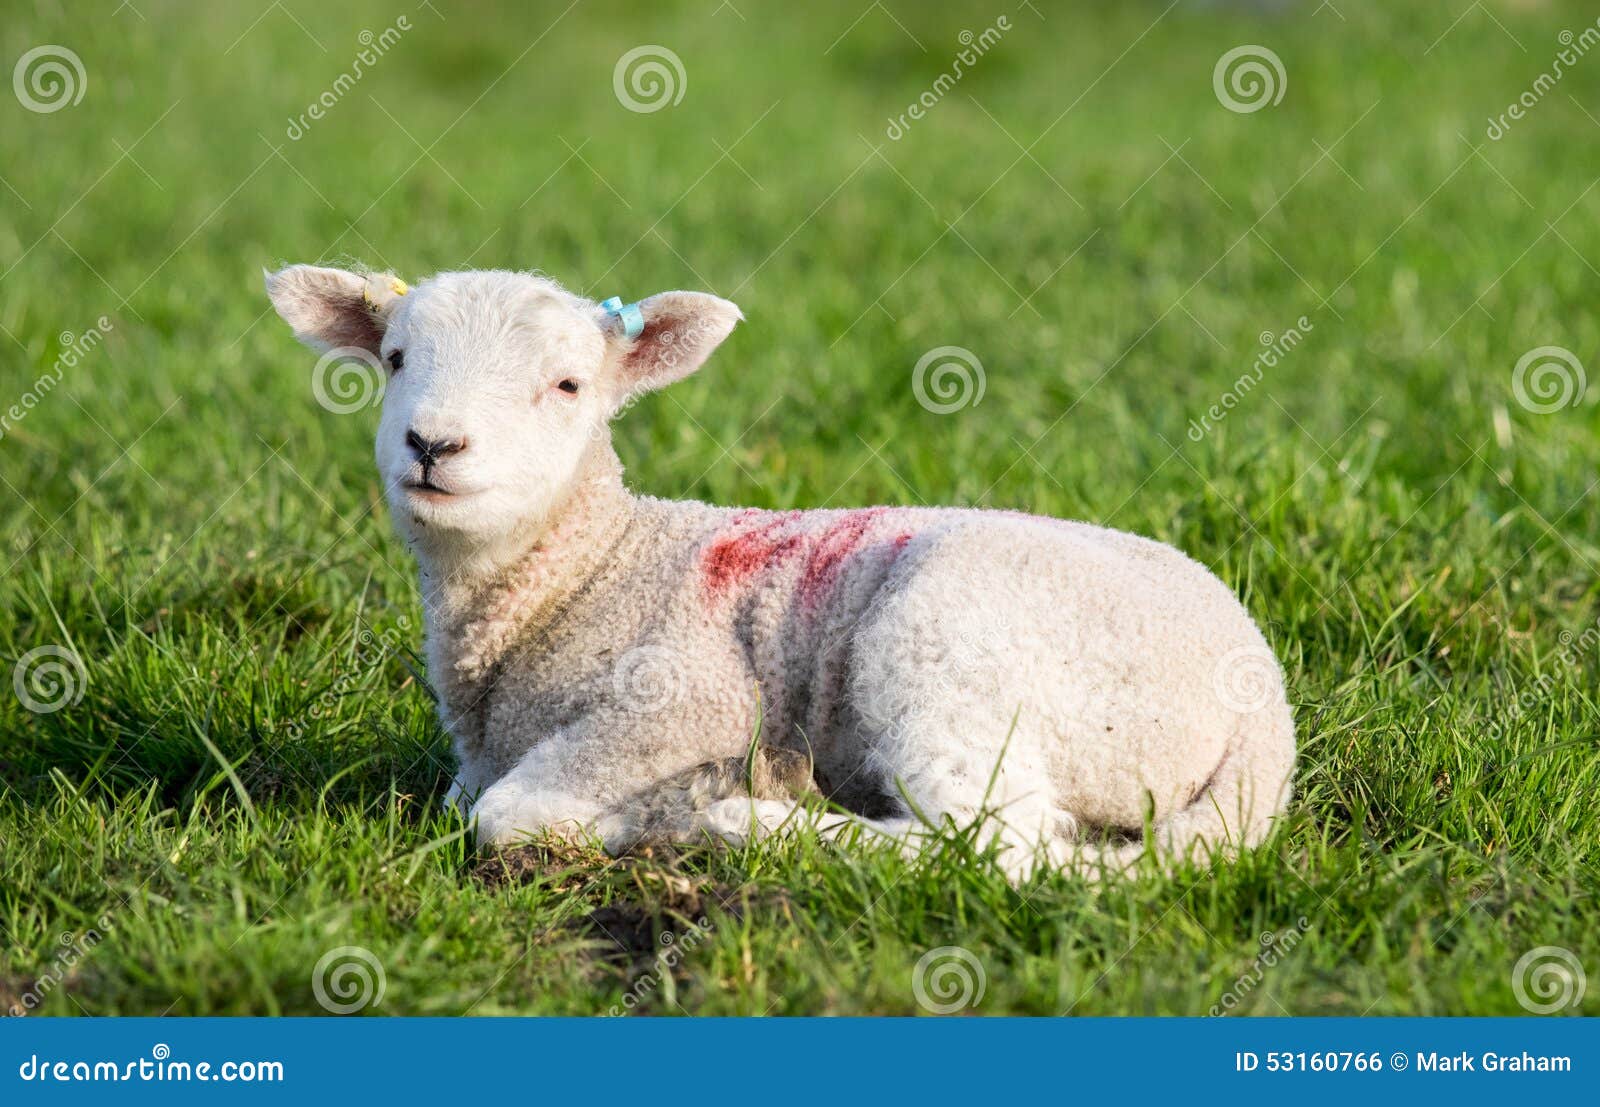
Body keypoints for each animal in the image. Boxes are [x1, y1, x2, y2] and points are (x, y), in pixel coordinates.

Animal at [265, 264, 1297, 879]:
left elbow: (506, 813)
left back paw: (750, 821)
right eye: (395, 357)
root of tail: (1265, 716)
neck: (595, 567)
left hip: (946, 645)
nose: (433, 444)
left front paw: (647, 815)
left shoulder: (686, 696)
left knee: (1000, 846)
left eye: (566, 385)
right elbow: (467, 798)